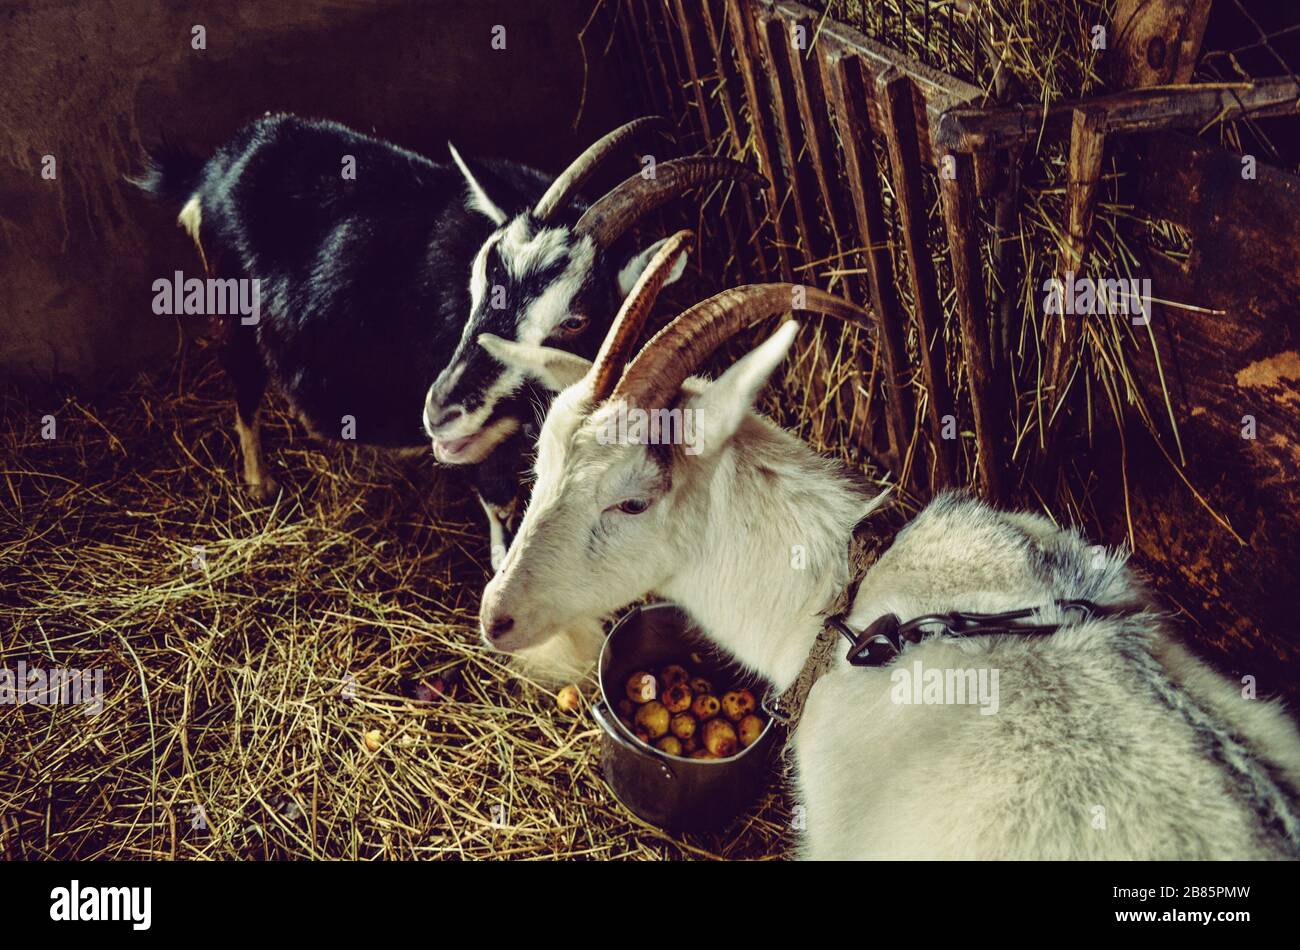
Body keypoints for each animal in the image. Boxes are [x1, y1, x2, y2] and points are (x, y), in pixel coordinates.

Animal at [132, 114, 760, 565]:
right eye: (479, 281)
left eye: (576, 319)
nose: (439, 411)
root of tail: (213, 169)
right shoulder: (484, 448)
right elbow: (498, 496)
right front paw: (503, 560)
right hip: (229, 305)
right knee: (243, 387)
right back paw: (260, 484)